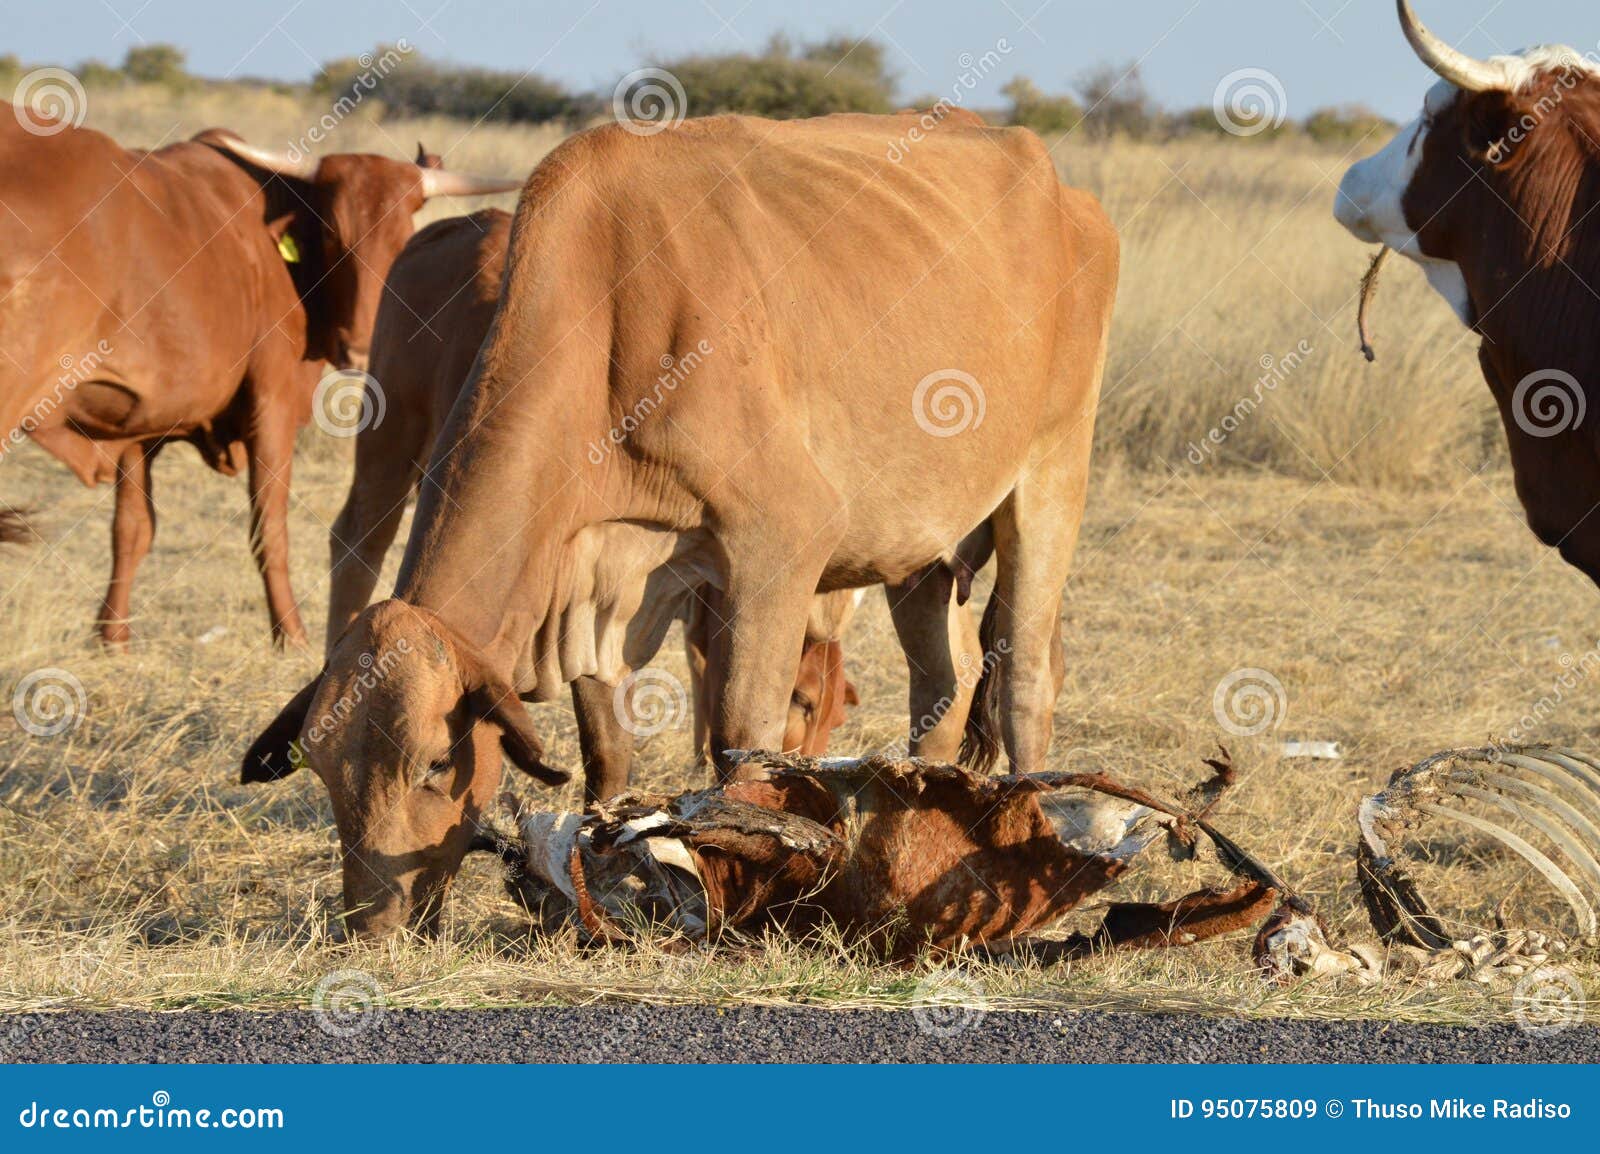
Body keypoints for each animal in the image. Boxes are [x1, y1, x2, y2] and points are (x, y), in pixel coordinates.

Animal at [0, 114, 519, 644]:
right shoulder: (271, 402)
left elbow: (132, 528)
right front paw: (291, 634)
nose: (359, 347)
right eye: (332, 233)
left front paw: (112, 638)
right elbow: (269, 526)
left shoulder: (139, 424)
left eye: (400, 236)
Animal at [322, 206, 865, 800]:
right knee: (355, 541)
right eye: (801, 701)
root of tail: (463, 221)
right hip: (387, 439)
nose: (809, 790)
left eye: (836, 719)